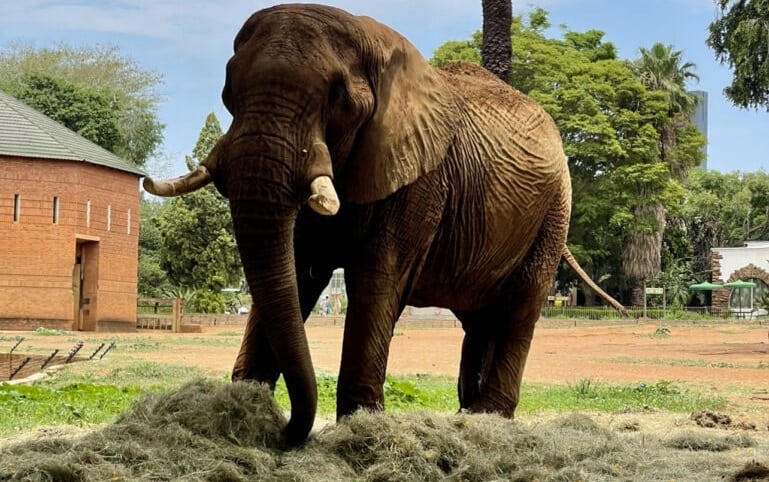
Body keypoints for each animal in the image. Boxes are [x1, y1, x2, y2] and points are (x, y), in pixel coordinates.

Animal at [144, 4, 625, 445]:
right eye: (228, 91)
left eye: (338, 98)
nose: (285, 431)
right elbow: (296, 275)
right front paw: (243, 407)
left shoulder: (421, 177)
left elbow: (376, 281)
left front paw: (359, 428)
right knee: (479, 318)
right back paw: (466, 416)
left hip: (554, 211)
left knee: (520, 307)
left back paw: (488, 419)